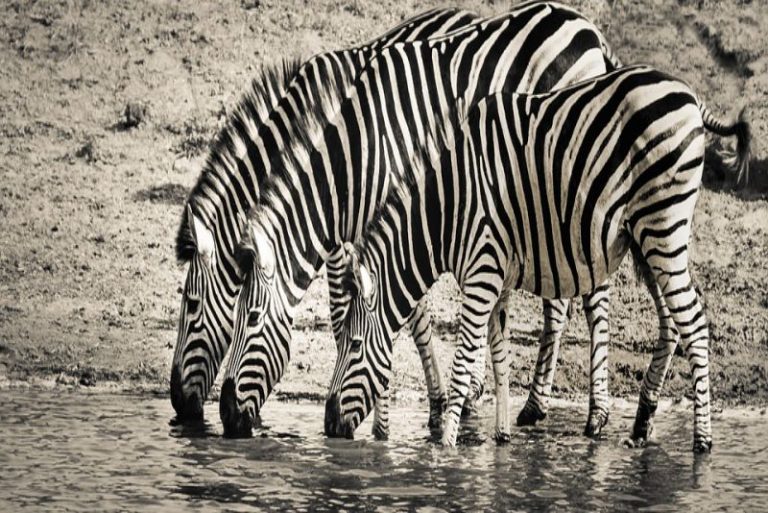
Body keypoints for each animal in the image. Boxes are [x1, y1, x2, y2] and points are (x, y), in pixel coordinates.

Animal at [219, 2, 631, 437]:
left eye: (249, 320)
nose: (225, 414)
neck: (349, 157)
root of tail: (590, 32)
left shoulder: (387, 217)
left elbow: (387, 311)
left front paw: (392, 422)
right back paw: (534, 405)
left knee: (592, 297)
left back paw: (592, 413)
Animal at [327, 64, 750, 450]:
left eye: (354, 346)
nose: (329, 424)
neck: (449, 207)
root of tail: (688, 93)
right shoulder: (494, 276)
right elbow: (499, 357)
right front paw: (500, 436)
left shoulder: (481, 272)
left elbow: (463, 363)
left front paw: (445, 446)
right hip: (646, 240)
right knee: (673, 323)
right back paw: (641, 425)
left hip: (663, 225)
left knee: (694, 324)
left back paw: (702, 441)